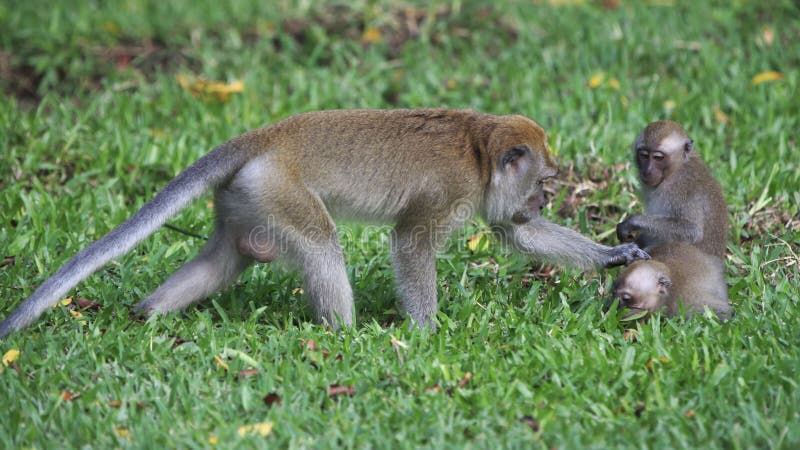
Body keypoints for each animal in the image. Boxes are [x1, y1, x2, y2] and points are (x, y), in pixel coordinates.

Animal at [0, 109, 649, 337]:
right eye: (544, 182)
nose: (538, 202)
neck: (477, 150)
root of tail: (265, 137)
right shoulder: (452, 187)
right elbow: (410, 242)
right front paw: (426, 333)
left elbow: (514, 235)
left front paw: (612, 257)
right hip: (280, 190)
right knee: (321, 246)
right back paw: (344, 337)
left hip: (247, 196)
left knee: (224, 259)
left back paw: (148, 314)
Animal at [616, 120, 729, 259]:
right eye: (644, 155)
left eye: (658, 157)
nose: (647, 171)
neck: (675, 169)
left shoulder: (680, 187)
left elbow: (692, 230)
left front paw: (632, 222)